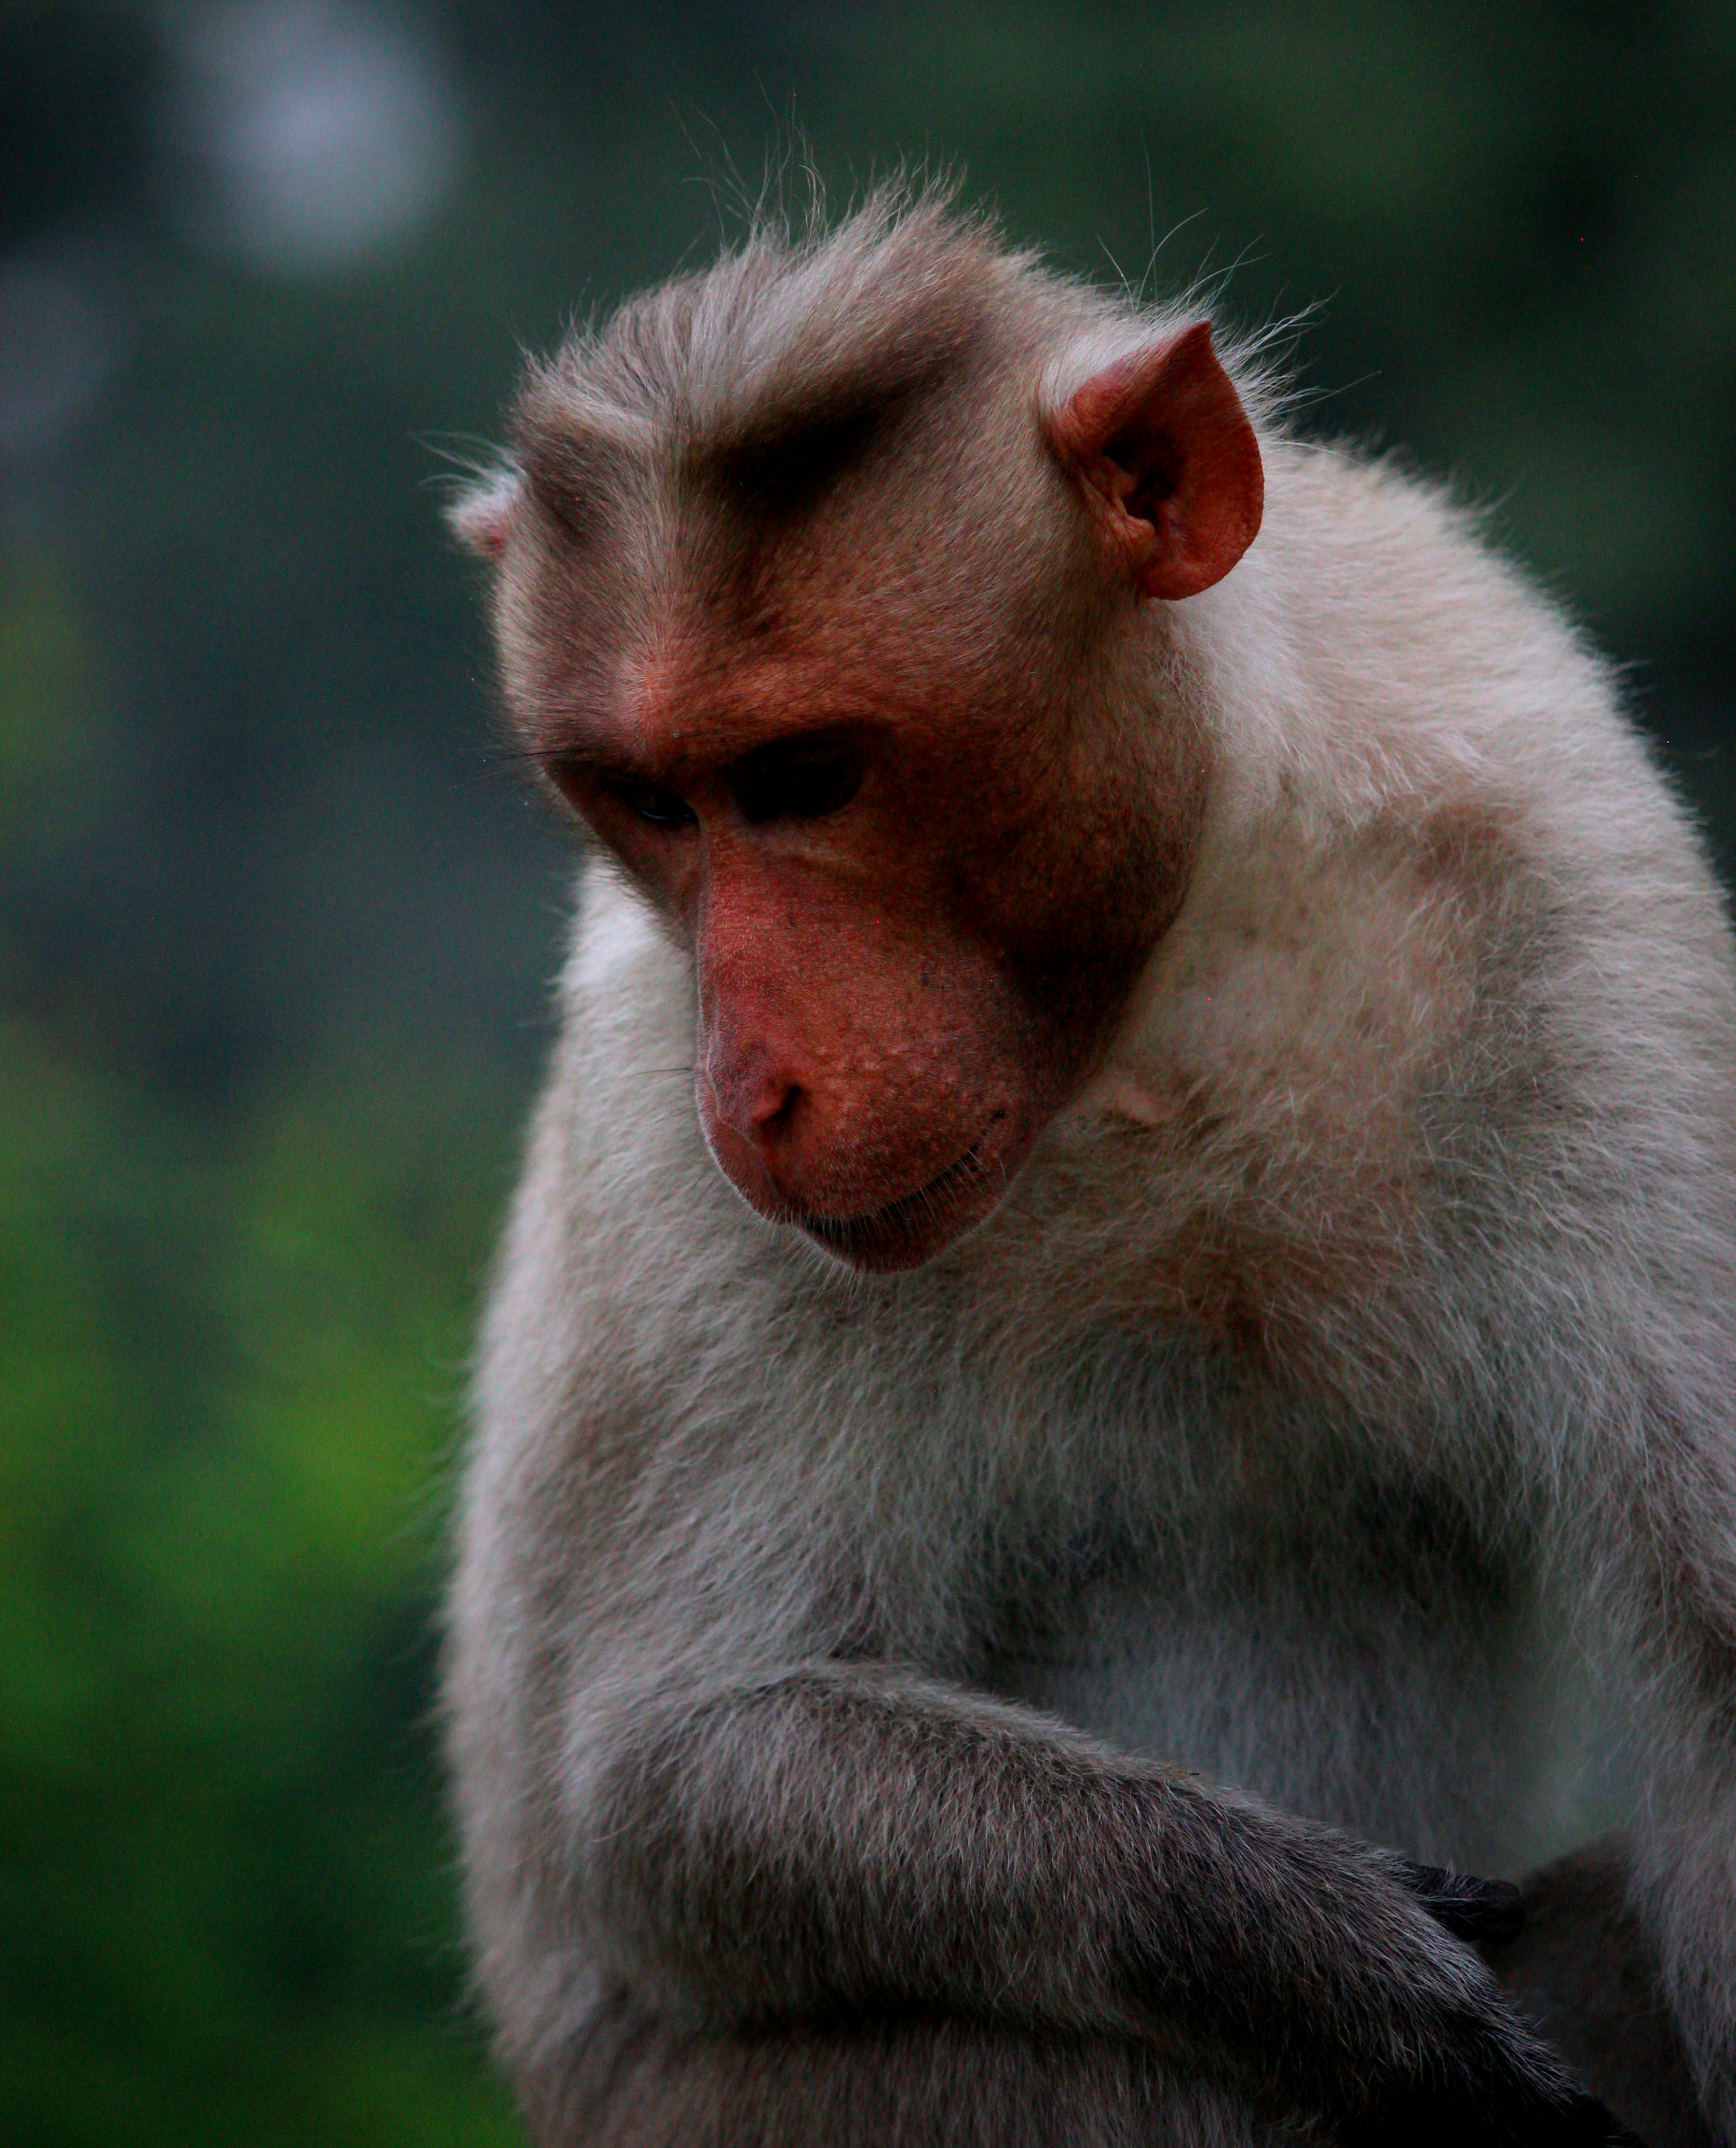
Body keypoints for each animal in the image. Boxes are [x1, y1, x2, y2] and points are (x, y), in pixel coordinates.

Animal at [442, 186, 1736, 2145]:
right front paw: (1297, 1943)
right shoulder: (656, 1119)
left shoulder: (1572, 901)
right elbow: (660, 1773)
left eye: (802, 775)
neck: (1152, 1018)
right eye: (656, 802)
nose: (752, 1087)